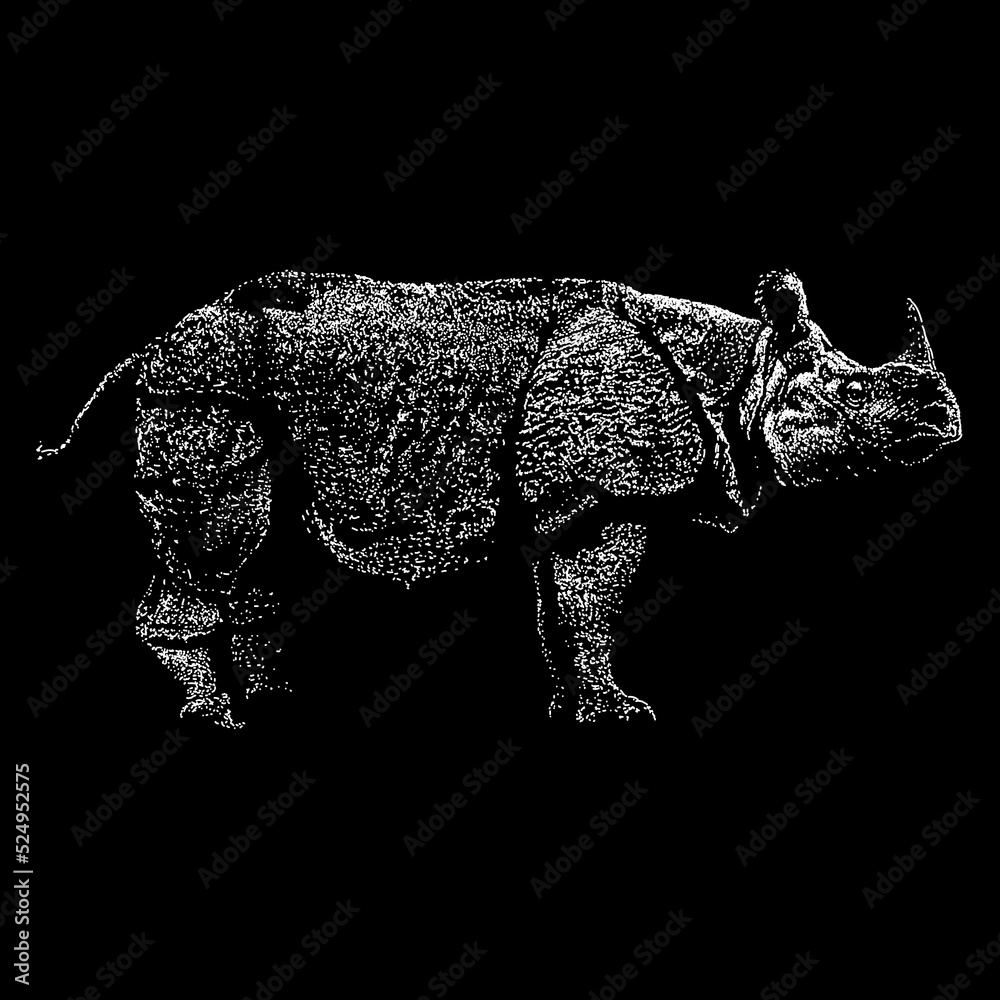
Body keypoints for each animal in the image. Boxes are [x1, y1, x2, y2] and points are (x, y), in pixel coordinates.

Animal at [39, 269, 962, 728]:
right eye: (838, 396)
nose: (945, 422)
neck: (738, 370)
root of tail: (151, 346)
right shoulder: (606, 486)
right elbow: (593, 601)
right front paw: (621, 718)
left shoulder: (570, 495)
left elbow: (559, 604)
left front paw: (570, 710)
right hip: (202, 393)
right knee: (226, 539)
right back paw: (216, 721)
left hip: (217, 390)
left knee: (255, 550)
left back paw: (277, 703)